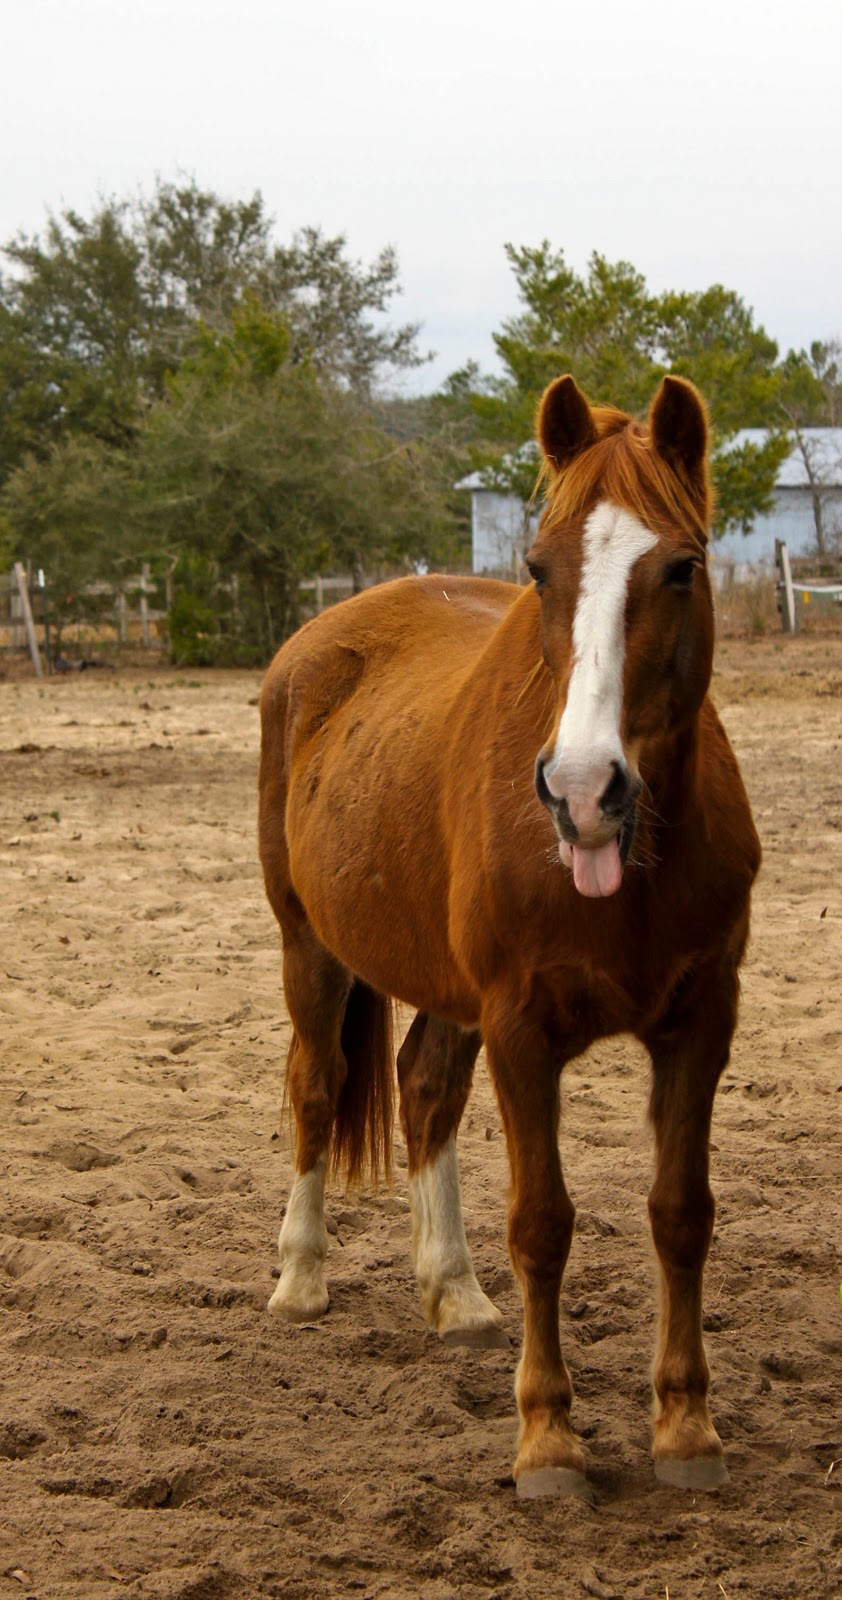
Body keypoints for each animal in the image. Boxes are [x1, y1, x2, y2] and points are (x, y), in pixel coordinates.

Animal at [258, 373, 761, 1500]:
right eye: (538, 568)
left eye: (681, 565)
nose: (580, 791)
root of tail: (317, 639)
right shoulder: (523, 1029)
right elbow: (542, 1222)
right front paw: (547, 1441)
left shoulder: (701, 1022)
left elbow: (681, 1212)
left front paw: (686, 1427)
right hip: (310, 947)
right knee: (317, 1085)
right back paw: (301, 1277)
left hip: (448, 992)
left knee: (424, 1088)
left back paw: (455, 1294)